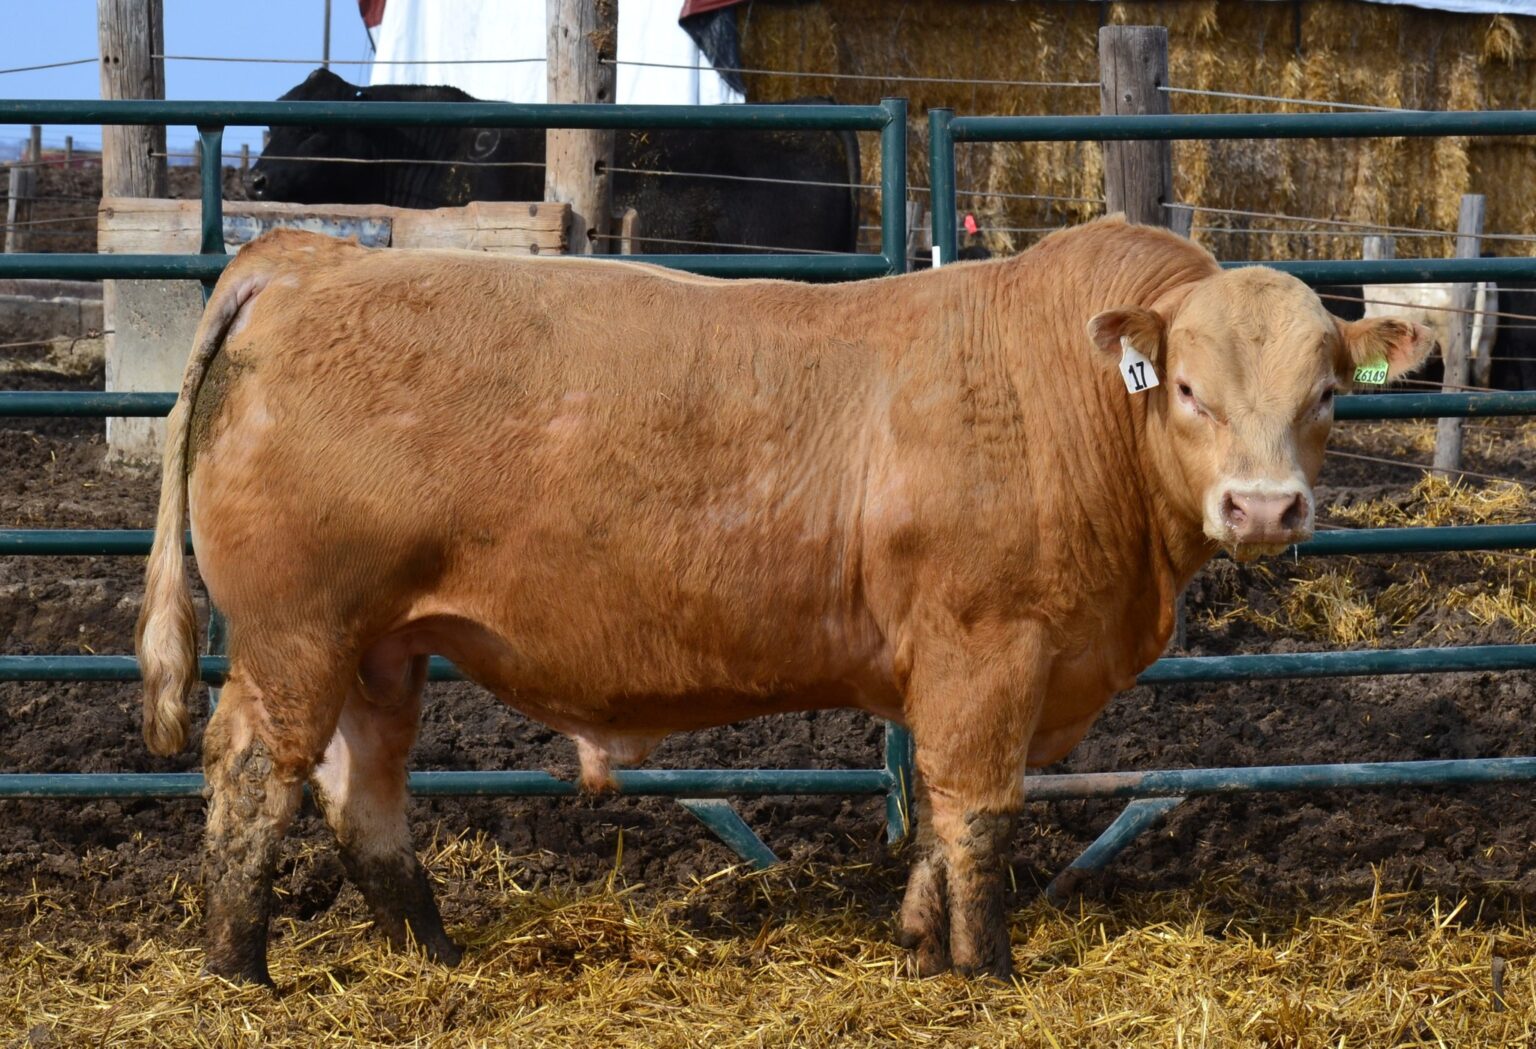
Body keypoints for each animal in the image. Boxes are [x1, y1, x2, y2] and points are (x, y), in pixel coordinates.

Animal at [136, 216, 1432, 987]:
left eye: (1327, 392)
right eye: (1191, 388)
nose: (1263, 508)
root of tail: (312, 256)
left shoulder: (958, 671)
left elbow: (941, 810)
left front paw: (921, 944)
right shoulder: (988, 648)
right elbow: (980, 812)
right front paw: (987, 967)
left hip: (381, 646)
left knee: (363, 786)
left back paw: (433, 947)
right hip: (298, 631)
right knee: (253, 769)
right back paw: (240, 966)